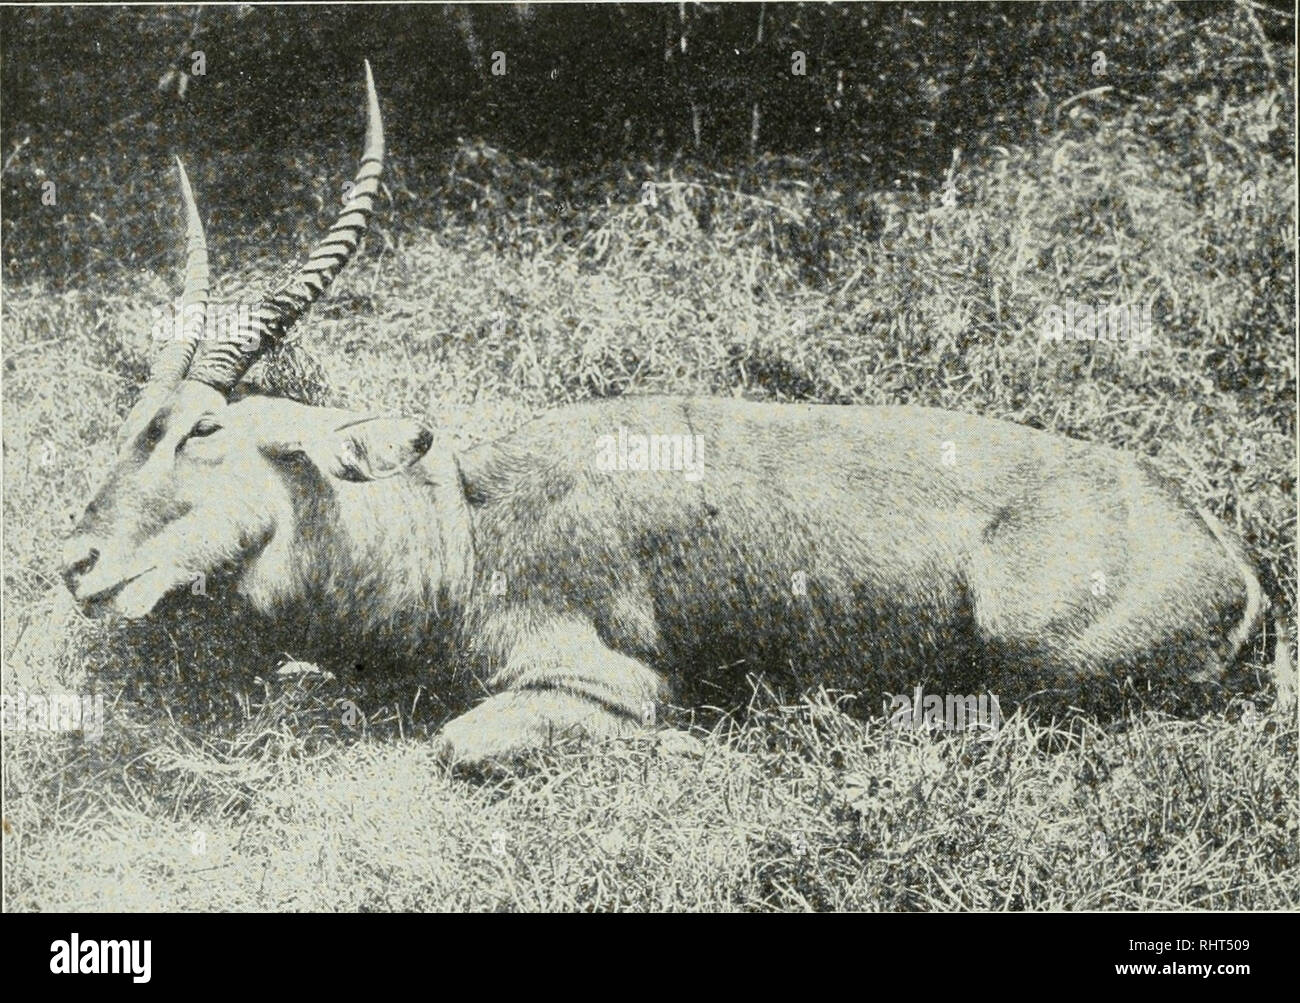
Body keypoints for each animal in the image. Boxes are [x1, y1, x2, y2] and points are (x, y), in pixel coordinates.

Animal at [61, 65, 1294, 766]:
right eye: (134, 422)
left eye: (203, 429)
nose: (76, 563)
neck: (461, 522)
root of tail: (1222, 544)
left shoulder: (603, 684)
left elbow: (458, 743)